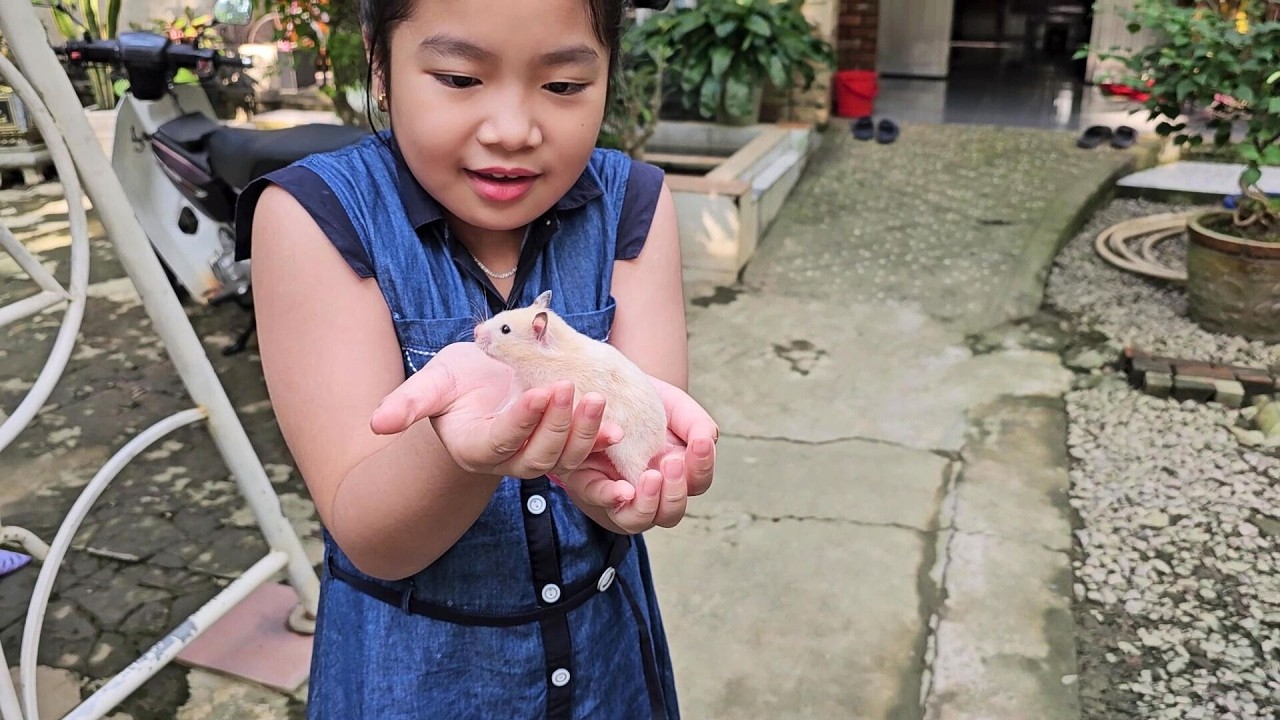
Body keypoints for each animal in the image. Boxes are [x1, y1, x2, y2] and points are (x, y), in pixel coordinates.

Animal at [474, 290, 668, 485]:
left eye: (505, 329)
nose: (475, 331)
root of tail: (661, 443)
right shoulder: (521, 384)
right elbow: (508, 403)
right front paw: (491, 414)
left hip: (628, 455)